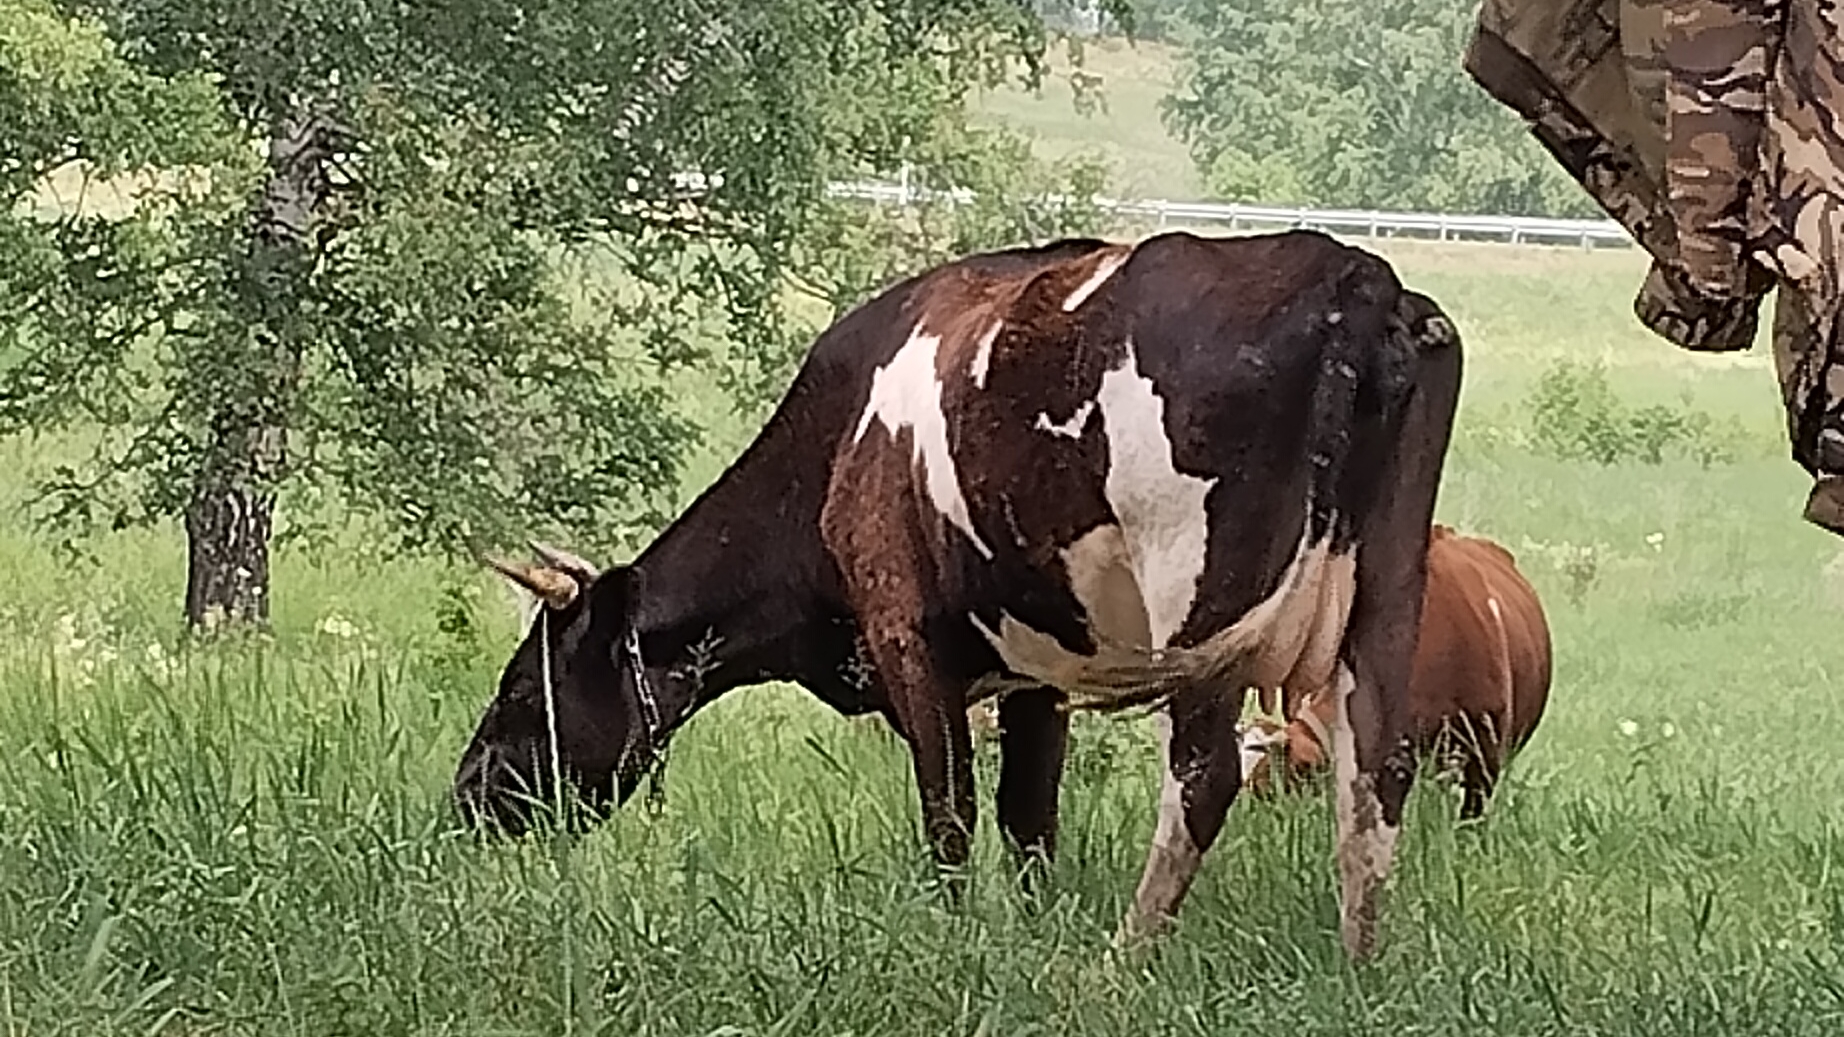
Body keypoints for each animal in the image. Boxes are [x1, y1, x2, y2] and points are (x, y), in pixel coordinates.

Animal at [452, 228, 1464, 961]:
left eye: (522, 686)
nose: (465, 796)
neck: (831, 447)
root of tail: (1356, 276)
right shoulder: (1038, 672)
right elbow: (1029, 823)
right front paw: (1026, 933)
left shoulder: (907, 640)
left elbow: (951, 817)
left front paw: (953, 940)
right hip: (1388, 589)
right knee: (1377, 769)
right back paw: (1358, 966)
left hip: (1200, 595)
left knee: (1204, 774)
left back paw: (1122, 959)